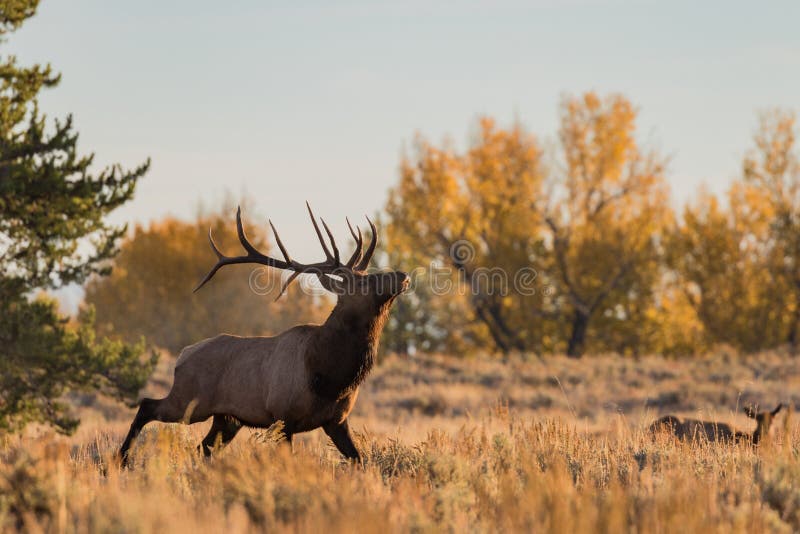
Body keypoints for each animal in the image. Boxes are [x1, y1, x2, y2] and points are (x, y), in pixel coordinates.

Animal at [119, 203, 409, 466]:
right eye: (362, 282)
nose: (403, 275)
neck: (330, 377)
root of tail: (182, 356)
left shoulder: (336, 421)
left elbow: (359, 460)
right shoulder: (283, 417)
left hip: (226, 418)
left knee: (202, 448)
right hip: (189, 401)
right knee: (147, 405)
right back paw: (120, 460)